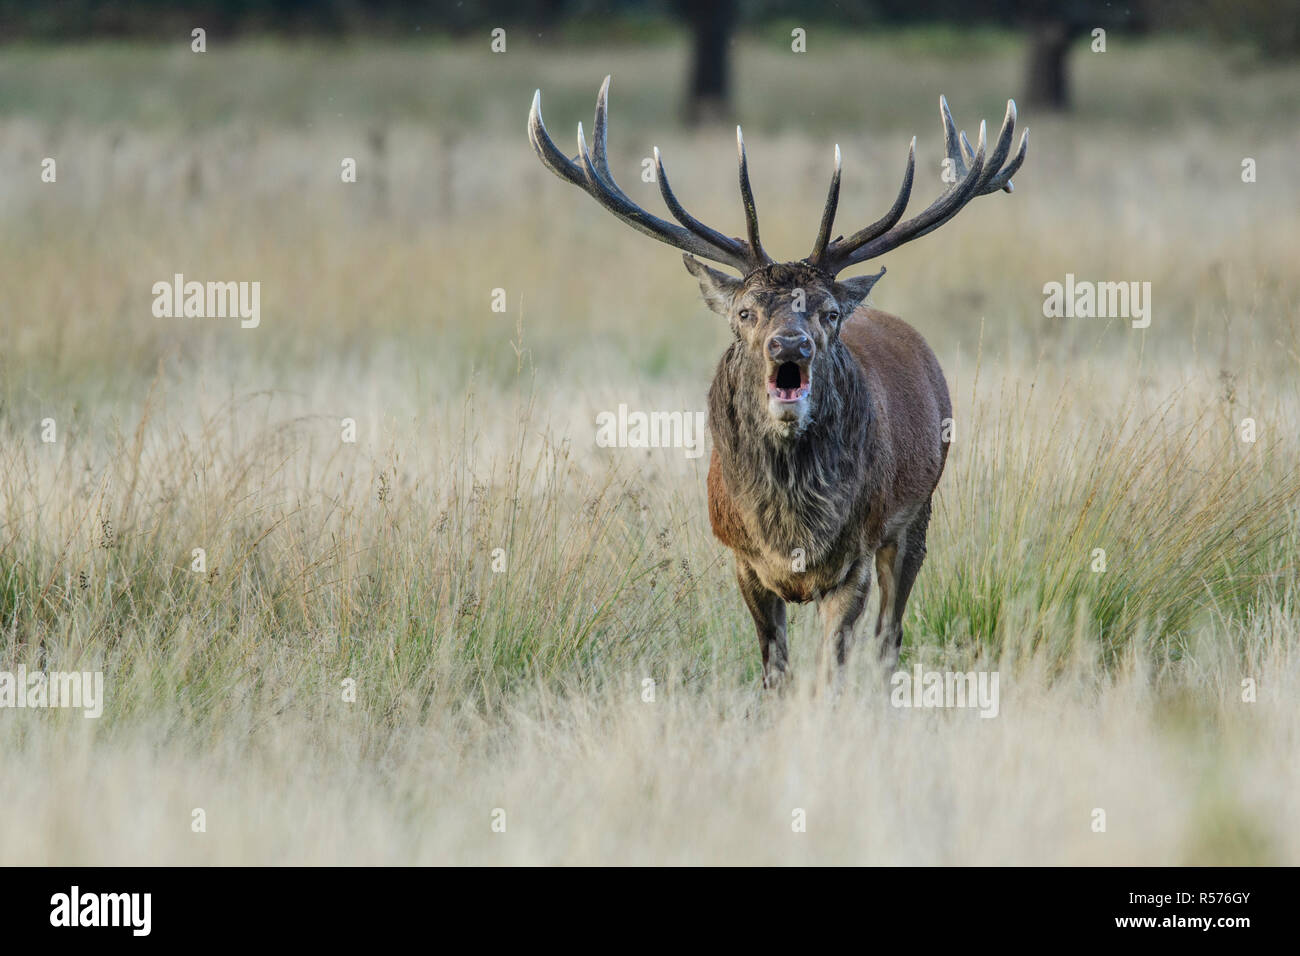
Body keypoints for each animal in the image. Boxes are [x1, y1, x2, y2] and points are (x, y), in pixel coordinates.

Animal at [528, 77, 1026, 687]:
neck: (790, 531)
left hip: (918, 515)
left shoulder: (856, 556)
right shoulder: (740, 557)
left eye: (829, 313)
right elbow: (776, 673)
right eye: (745, 311)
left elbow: (831, 670)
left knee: (891, 636)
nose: (790, 345)